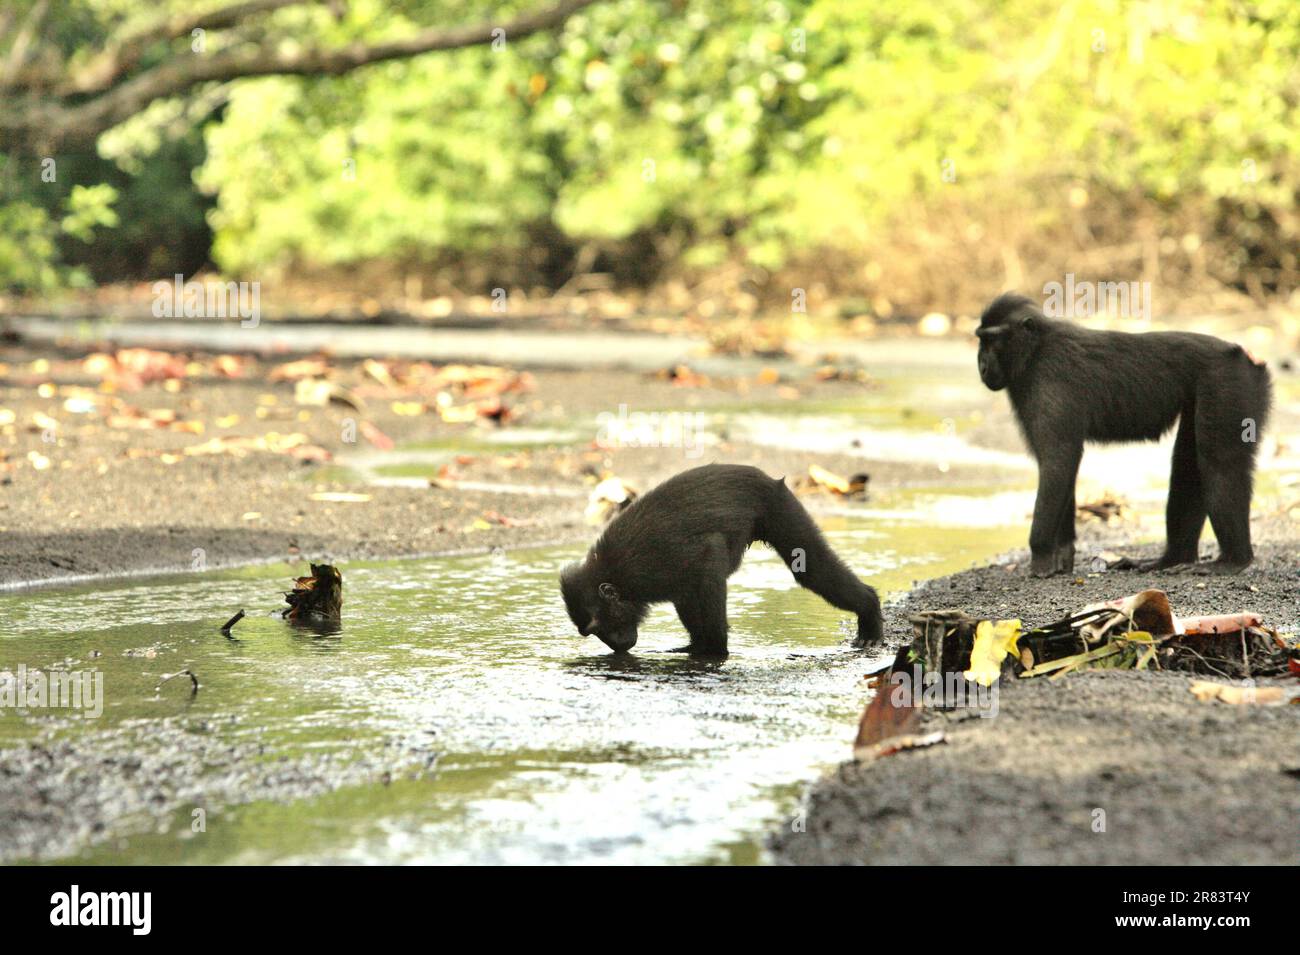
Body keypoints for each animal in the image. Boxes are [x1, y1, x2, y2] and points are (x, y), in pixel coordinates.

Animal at [560, 464, 883, 656]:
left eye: (597, 628)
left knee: (811, 567)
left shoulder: (657, 566)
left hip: (777, 504)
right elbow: (686, 596)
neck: (618, 575)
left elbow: (709, 559)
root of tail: (765, 478)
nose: (616, 645)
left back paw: (869, 608)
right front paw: (694, 647)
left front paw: (712, 653)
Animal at [976, 292, 1271, 577]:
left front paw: (1040, 555)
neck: (1035, 350)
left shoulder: (1048, 380)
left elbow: (1058, 459)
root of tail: (1244, 355)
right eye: (981, 340)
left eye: (990, 341)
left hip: (1228, 382)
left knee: (1219, 463)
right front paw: (1062, 553)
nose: (981, 364)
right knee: (1189, 464)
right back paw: (1171, 559)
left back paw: (1233, 560)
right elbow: (1061, 468)